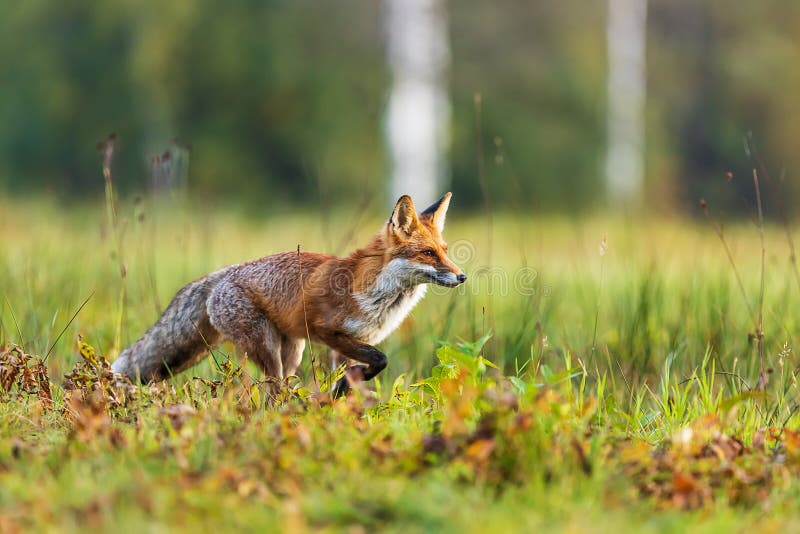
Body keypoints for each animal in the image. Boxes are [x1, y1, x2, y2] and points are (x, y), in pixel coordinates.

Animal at [112, 192, 466, 395]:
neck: (379, 295)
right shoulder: (328, 331)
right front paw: (342, 388)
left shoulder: (352, 343)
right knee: (274, 390)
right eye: (428, 254)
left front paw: (341, 392)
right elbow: (381, 359)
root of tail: (222, 275)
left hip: (291, 351)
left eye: (445, 251)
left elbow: (359, 371)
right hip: (269, 350)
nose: (462, 276)